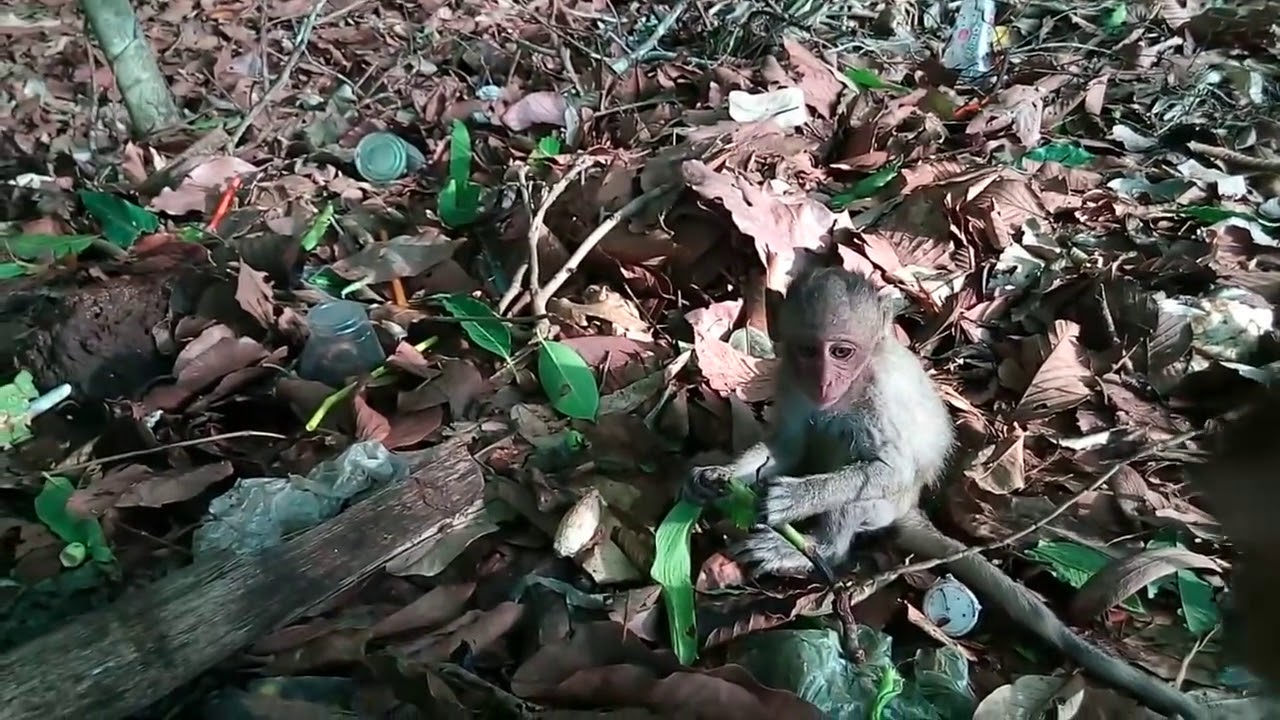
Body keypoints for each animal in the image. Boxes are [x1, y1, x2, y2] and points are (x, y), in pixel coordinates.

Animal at [684, 265, 1206, 720]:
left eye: (842, 352)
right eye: (811, 351)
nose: (825, 380)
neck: (854, 380)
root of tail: (912, 509)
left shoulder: (875, 397)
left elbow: (886, 468)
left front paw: (793, 501)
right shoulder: (789, 377)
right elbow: (786, 447)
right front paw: (715, 476)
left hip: (886, 506)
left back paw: (816, 549)